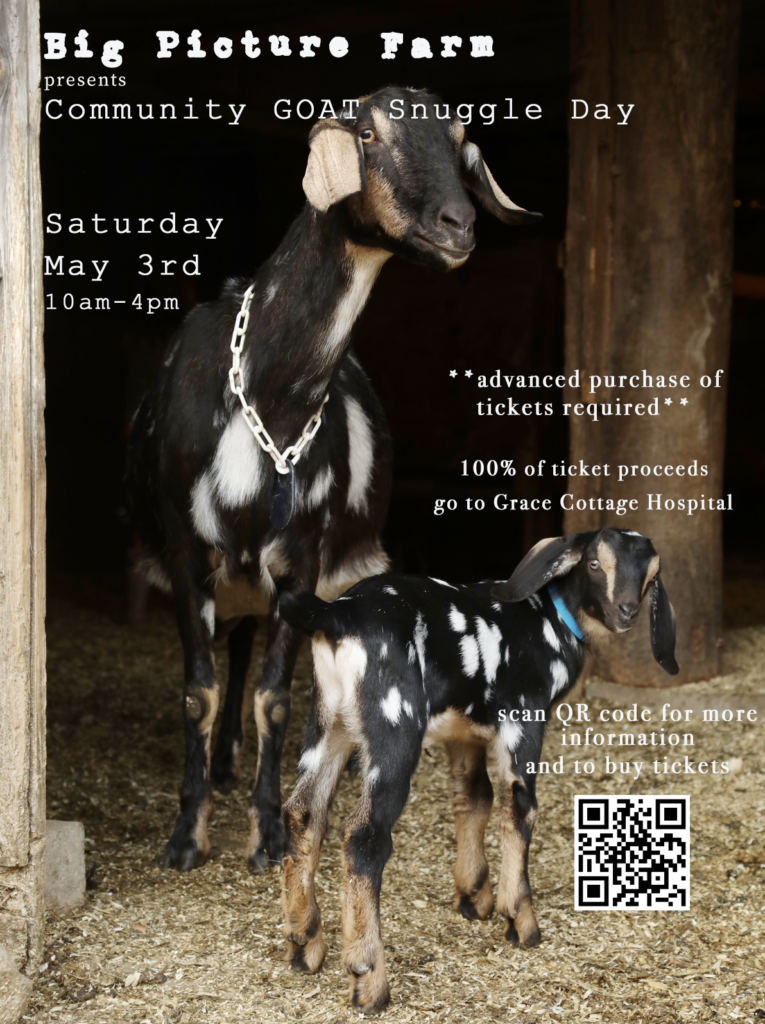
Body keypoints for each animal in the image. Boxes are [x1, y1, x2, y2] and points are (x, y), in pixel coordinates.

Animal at [125, 85, 541, 873]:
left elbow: (275, 699)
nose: (459, 226)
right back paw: (222, 763)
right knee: (235, 650)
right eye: (369, 134)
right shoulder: (186, 551)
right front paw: (185, 836)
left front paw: (267, 834)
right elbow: (199, 692)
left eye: (458, 139)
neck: (268, 397)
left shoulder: (302, 559)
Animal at [278, 528, 678, 1014]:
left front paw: (474, 895)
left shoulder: (463, 733)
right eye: (594, 564)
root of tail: (335, 613)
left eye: (651, 575)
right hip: (394, 728)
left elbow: (474, 798)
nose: (627, 611)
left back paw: (304, 943)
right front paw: (520, 919)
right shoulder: (523, 718)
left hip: (329, 723)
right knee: (364, 835)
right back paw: (369, 979)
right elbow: (519, 805)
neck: (547, 616)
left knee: (303, 813)